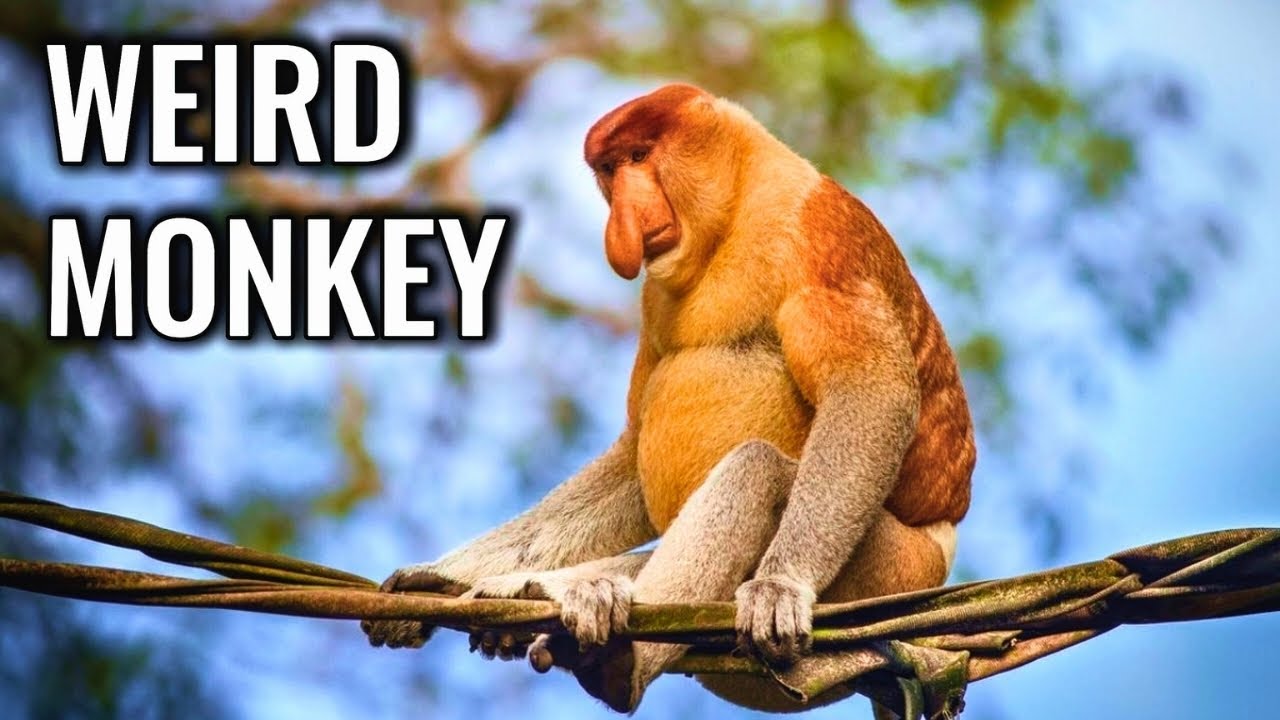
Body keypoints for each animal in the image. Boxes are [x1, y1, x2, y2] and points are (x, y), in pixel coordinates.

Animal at [362, 83, 976, 714]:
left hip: (895, 570)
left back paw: (614, 661)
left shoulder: (820, 234)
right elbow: (634, 457)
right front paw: (441, 577)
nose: (624, 218)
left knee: (761, 472)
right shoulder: (654, 296)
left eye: (639, 155)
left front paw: (780, 589)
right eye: (610, 169)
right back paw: (538, 596)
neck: (734, 211)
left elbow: (868, 392)